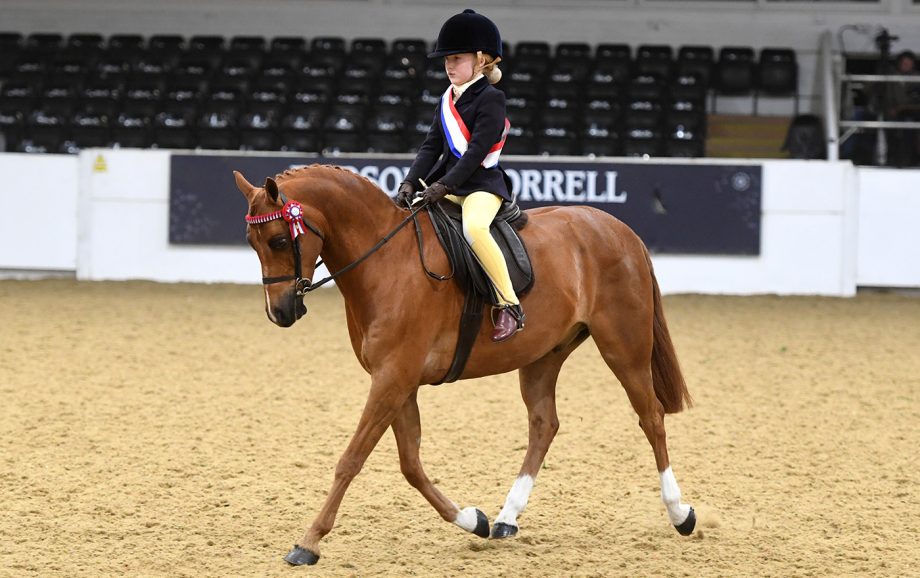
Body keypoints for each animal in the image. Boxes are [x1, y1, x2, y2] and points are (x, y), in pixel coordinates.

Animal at [234, 164, 696, 566]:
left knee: (651, 417)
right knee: (545, 424)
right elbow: (410, 464)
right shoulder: (398, 382)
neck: (387, 261)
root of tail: (619, 229)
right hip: (542, 356)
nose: (280, 312)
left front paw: (308, 543)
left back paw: (679, 513)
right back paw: (507, 518)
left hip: (624, 346)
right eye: (252, 243)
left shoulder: (392, 379)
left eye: (278, 241)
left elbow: (352, 458)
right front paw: (472, 520)